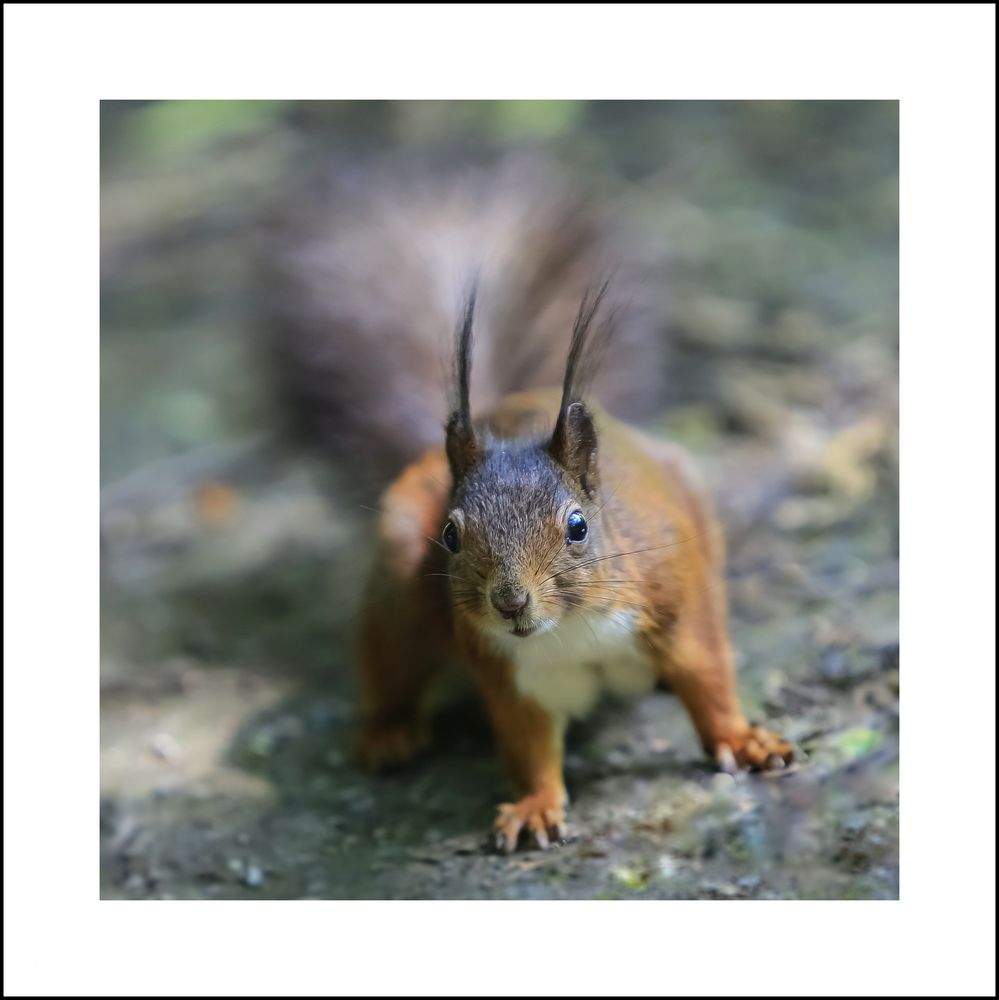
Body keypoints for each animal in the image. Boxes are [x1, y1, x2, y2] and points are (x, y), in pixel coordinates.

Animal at [258, 157, 792, 853]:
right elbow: (528, 746)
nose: (510, 603)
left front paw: (744, 740)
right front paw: (535, 808)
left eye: (578, 526)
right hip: (397, 583)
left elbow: (709, 680)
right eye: (450, 535)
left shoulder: (678, 602)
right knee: (391, 664)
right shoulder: (509, 674)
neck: (571, 628)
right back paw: (387, 733)